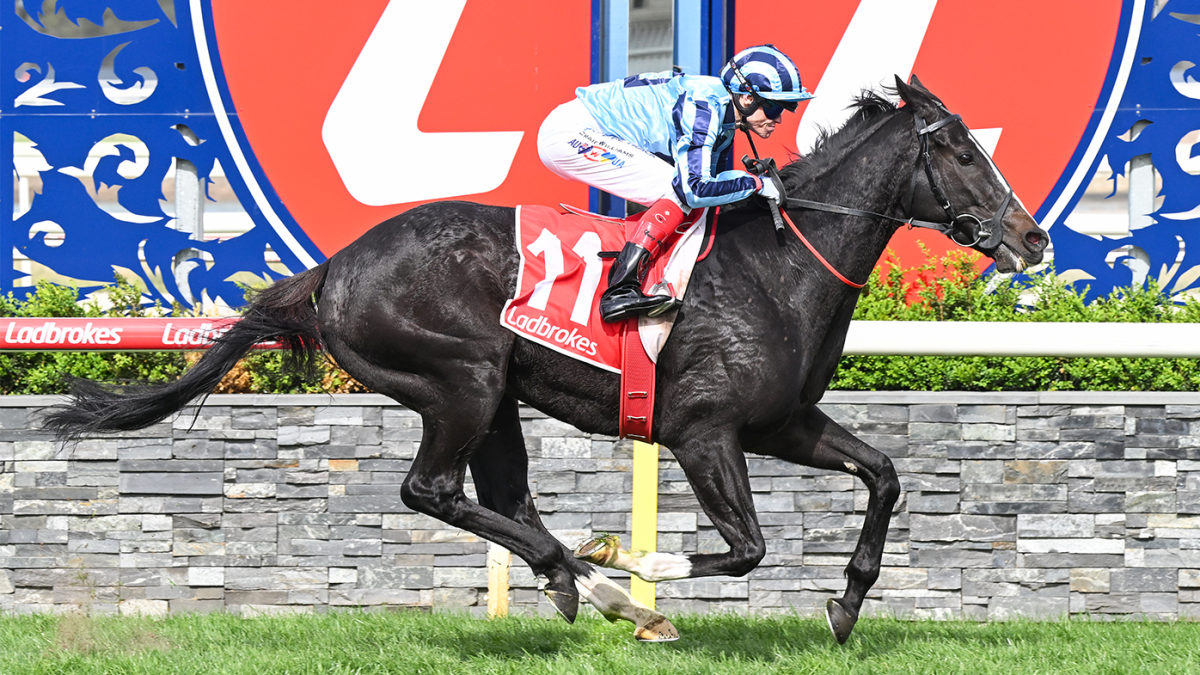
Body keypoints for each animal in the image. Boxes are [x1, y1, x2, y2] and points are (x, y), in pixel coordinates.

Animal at [43, 76, 1048, 643]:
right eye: (963, 152)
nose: (1032, 237)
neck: (778, 261)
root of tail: (336, 266)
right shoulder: (703, 430)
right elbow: (748, 547)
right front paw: (640, 563)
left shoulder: (784, 421)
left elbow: (884, 474)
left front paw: (847, 603)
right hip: (463, 377)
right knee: (433, 490)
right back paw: (594, 578)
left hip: (494, 401)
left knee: (502, 499)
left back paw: (589, 584)